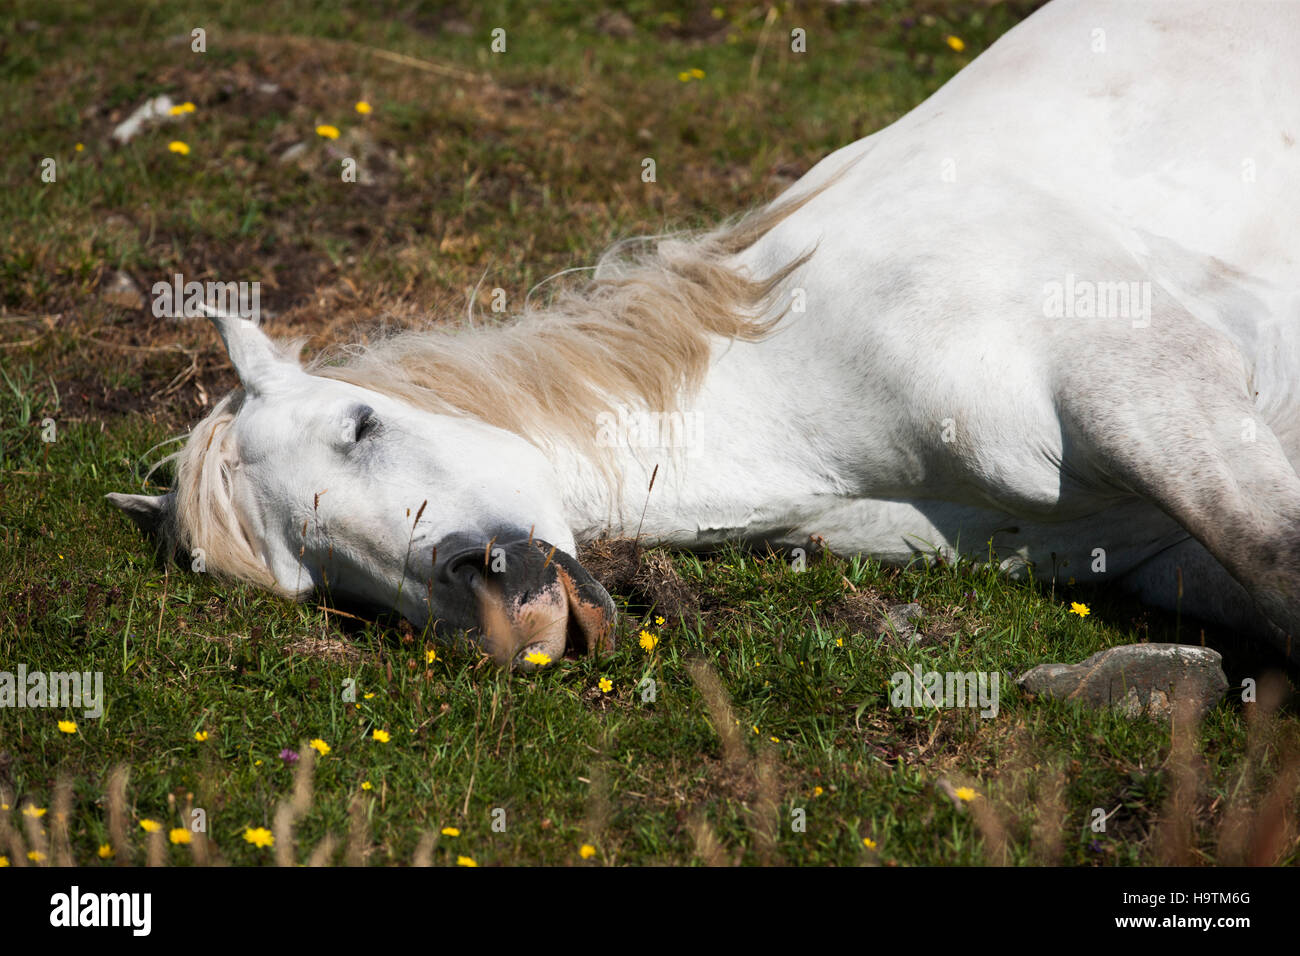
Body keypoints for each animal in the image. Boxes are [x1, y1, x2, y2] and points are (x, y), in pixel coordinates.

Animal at [111, 0, 1300, 667]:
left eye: (360, 424)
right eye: (318, 581)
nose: (502, 609)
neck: (813, 377)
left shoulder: (1152, 384)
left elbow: (1277, 560)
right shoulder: (1159, 547)